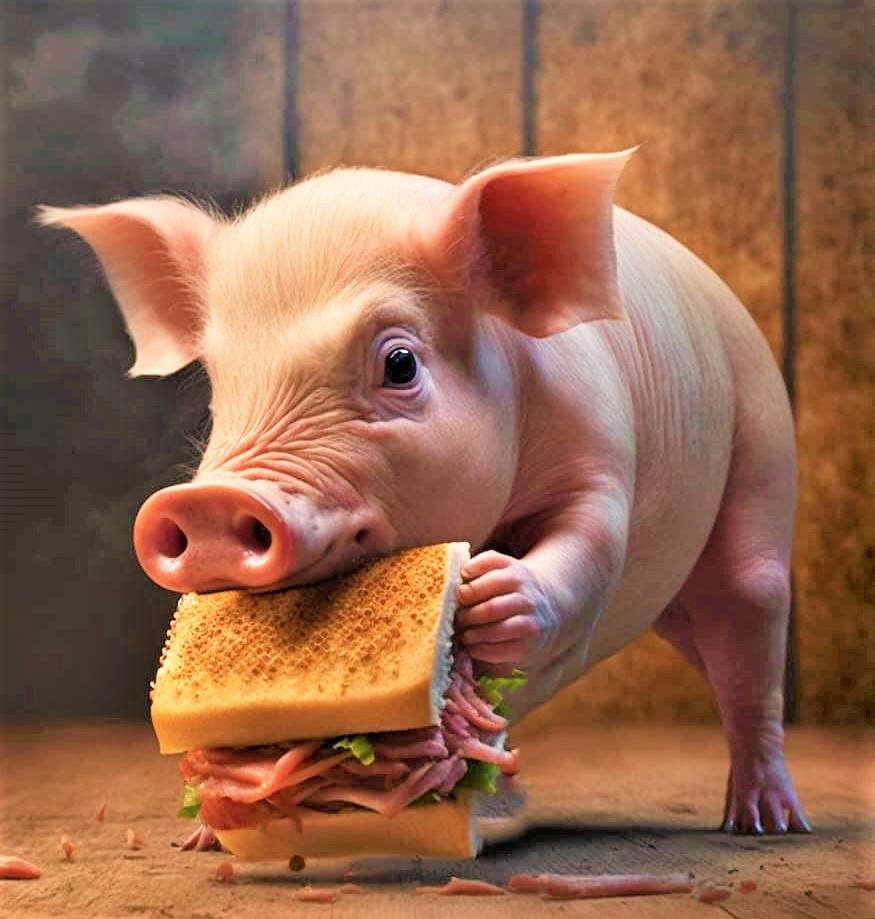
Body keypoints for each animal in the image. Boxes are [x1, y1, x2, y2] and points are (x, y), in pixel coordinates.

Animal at [39, 150, 810, 836]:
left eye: (400, 363)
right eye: (216, 386)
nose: (205, 502)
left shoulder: (600, 448)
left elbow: (591, 542)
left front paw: (491, 595)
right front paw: (200, 838)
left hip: (763, 455)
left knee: (750, 631)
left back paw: (763, 824)